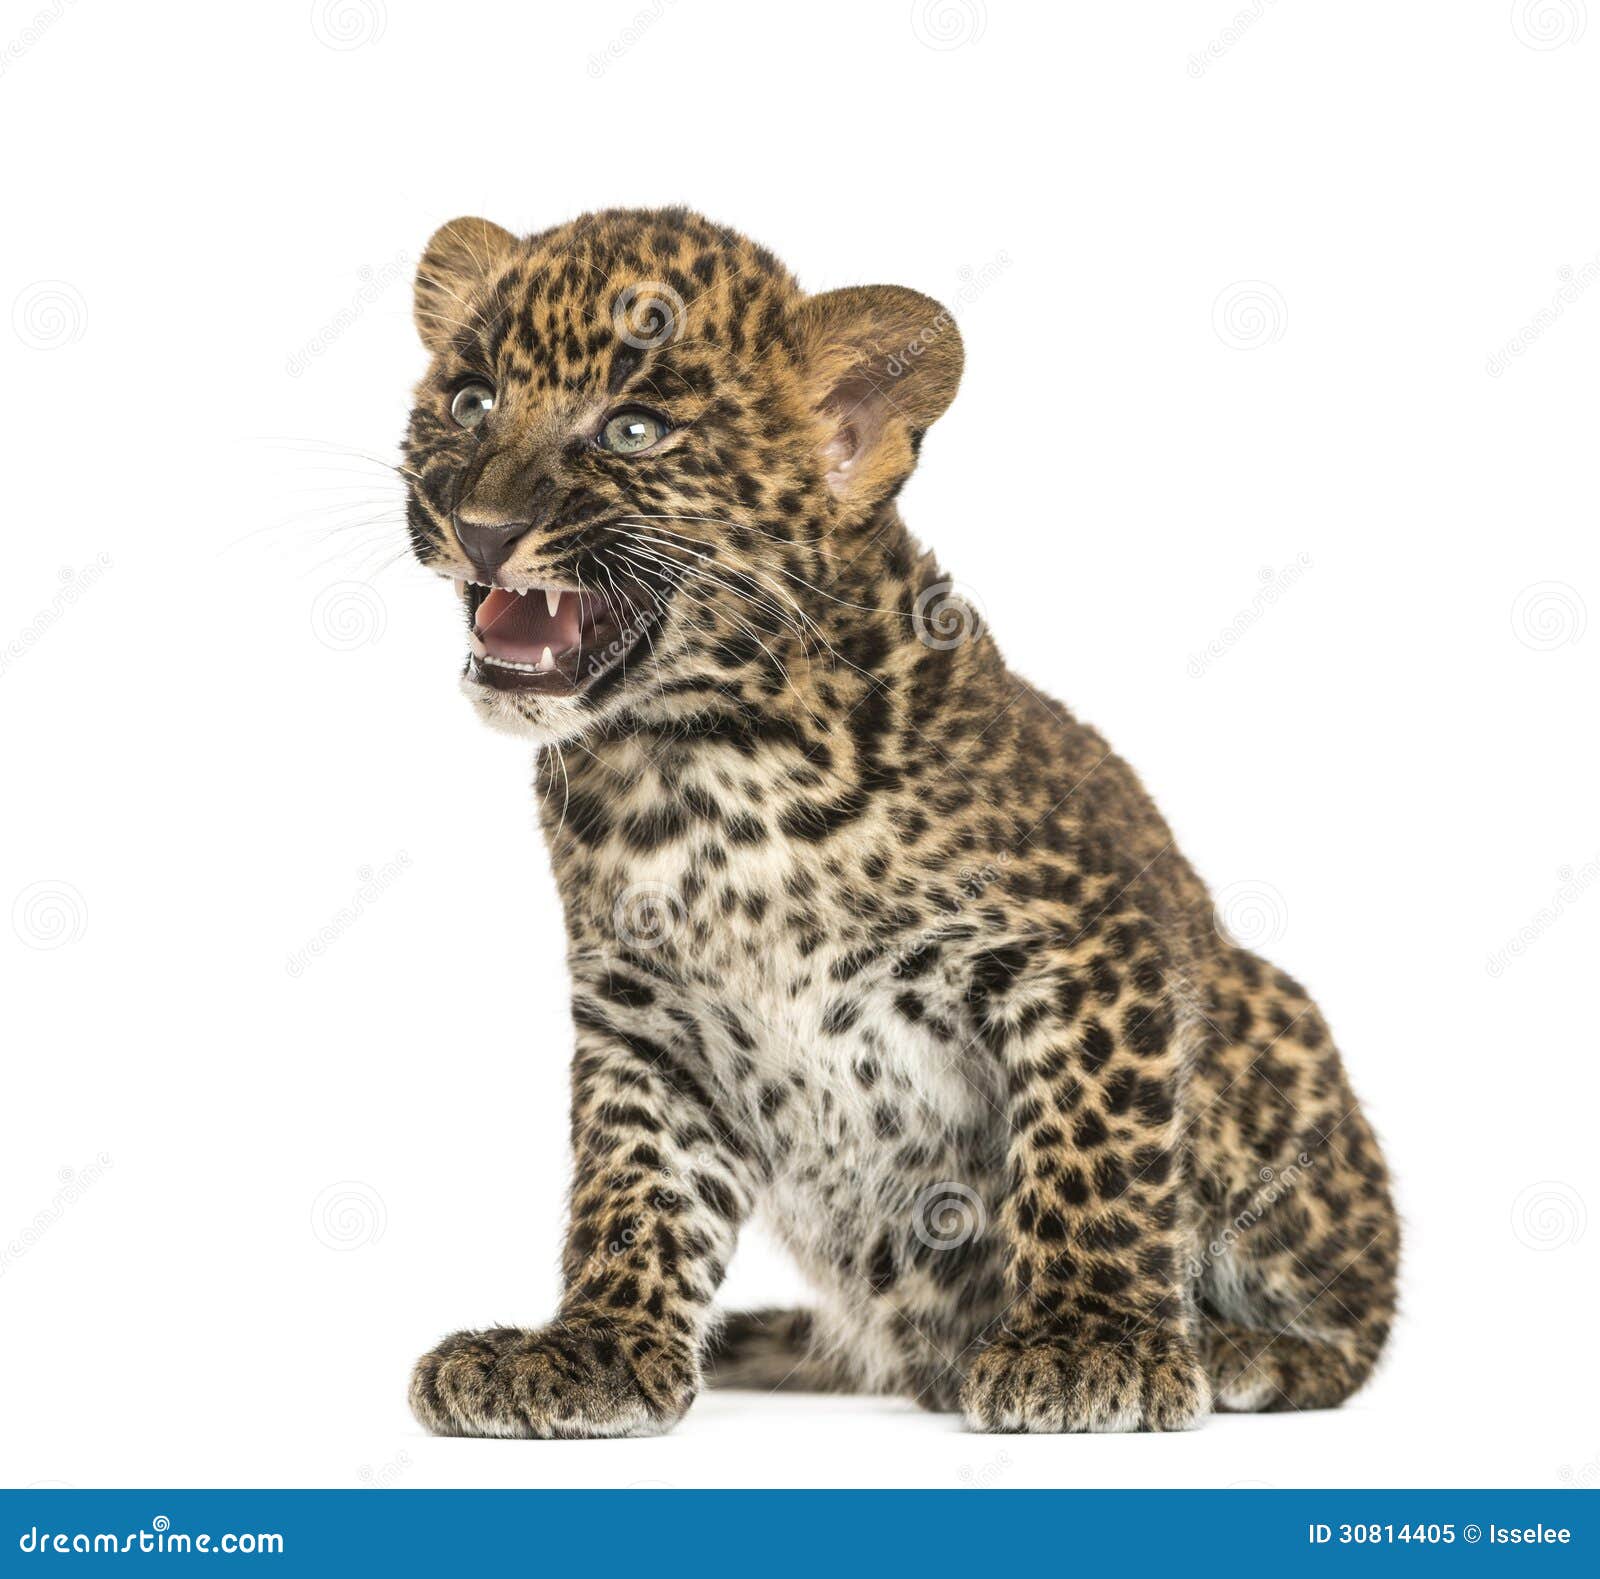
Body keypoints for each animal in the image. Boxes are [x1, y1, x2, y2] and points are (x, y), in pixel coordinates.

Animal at [398, 206, 1399, 1438]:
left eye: (634, 430)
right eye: (470, 401)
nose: (481, 528)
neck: (698, 761)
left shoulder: (1088, 949)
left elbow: (1092, 1152)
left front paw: (1088, 1342)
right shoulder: (649, 1018)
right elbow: (635, 1182)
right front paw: (595, 1346)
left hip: (1274, 1029)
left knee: (1351, 1325)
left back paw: (1247, 1349)